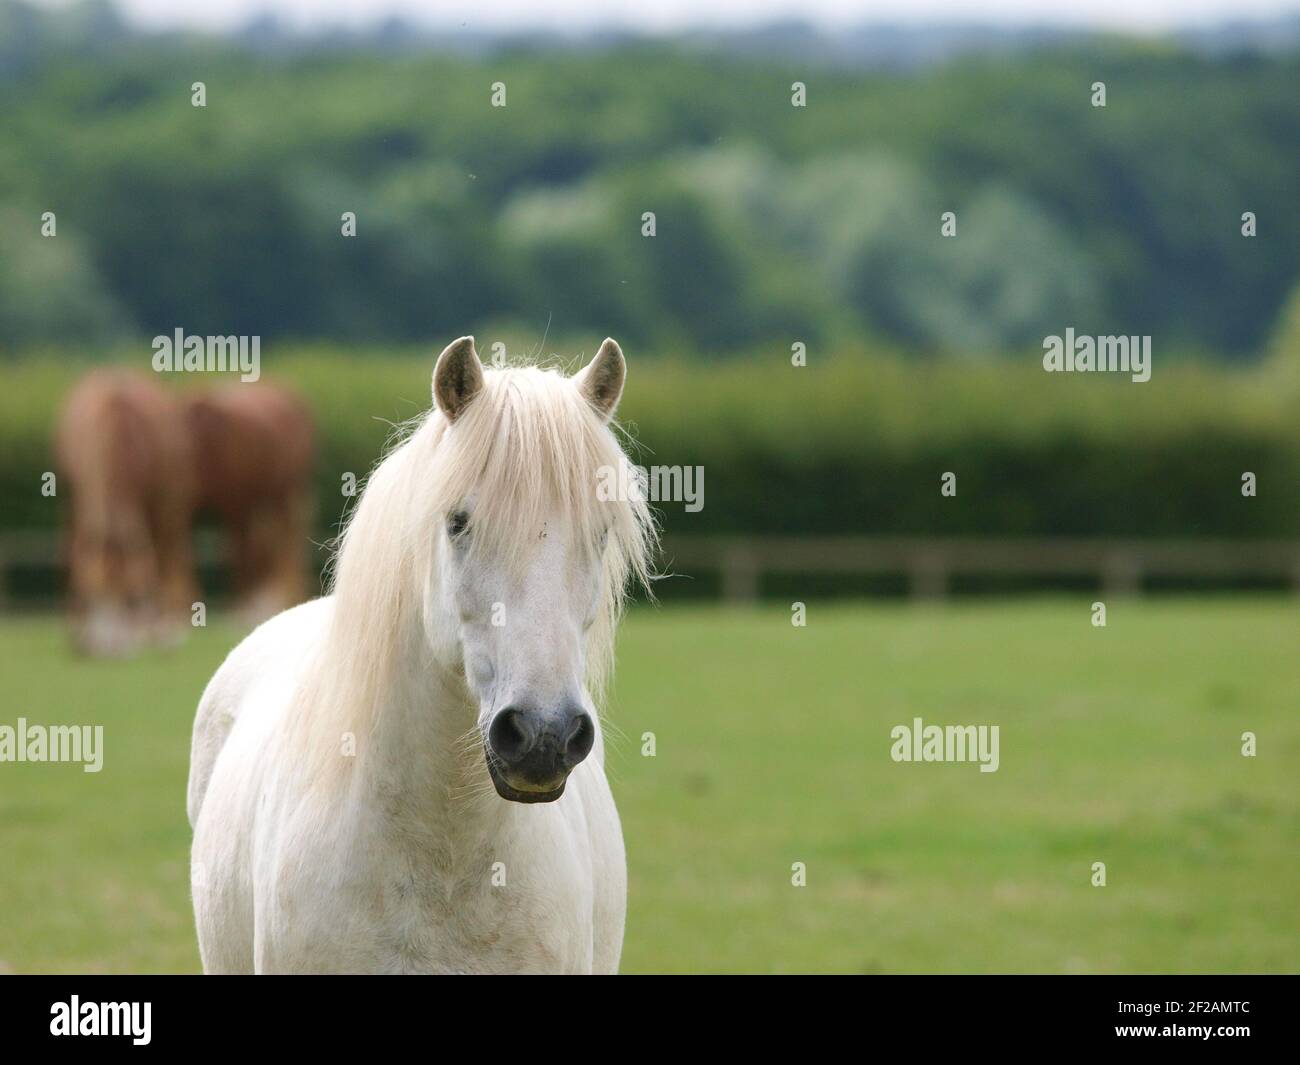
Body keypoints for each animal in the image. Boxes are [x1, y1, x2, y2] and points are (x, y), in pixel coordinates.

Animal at [55, 370, 197, 656]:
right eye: (93, 594)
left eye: (132, 596)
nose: (111, 649)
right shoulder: (77, 497)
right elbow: (78, 556)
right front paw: (79, 632)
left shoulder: (164, 501)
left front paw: (159, 632)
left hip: (172, 503)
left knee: (172, 553)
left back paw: (169, 630)